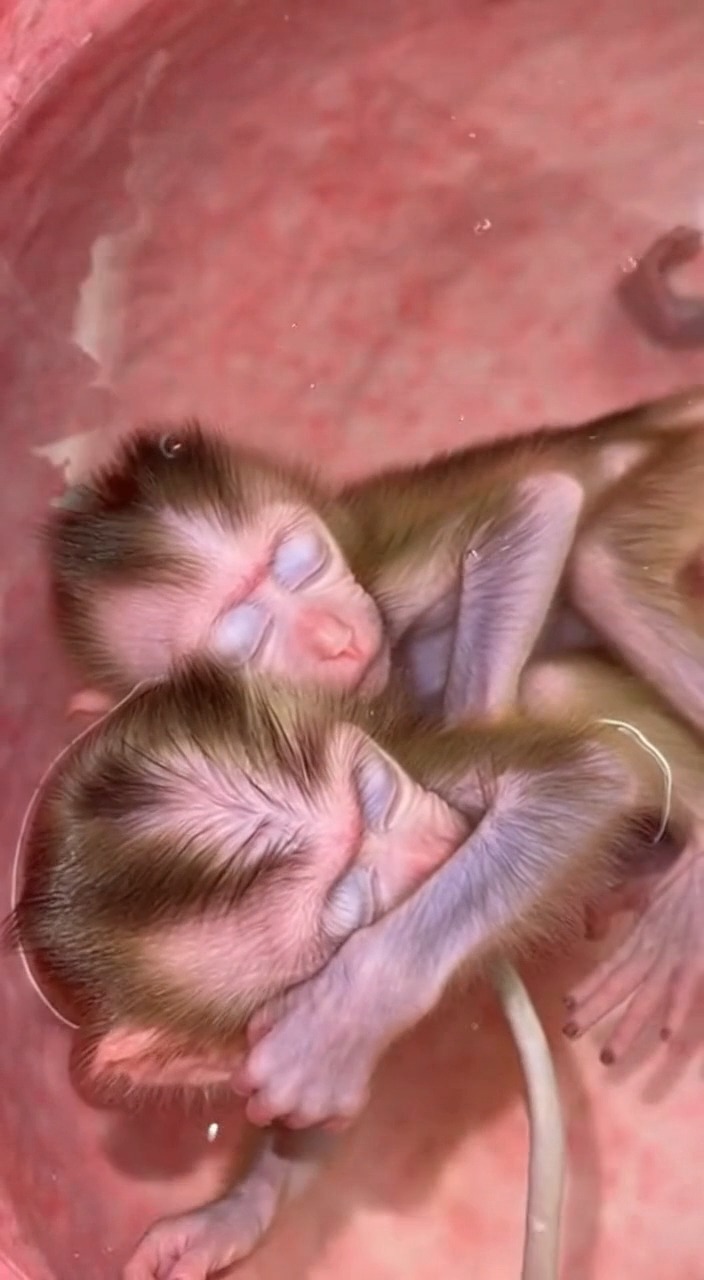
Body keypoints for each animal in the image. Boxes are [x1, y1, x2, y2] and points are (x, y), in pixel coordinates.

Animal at [10, 656, 665, 1280]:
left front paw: (342, 1020)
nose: (435, 846)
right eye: (354, 905)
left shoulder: (426, 770)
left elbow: (586, 779)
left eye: (373, 791)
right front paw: (233, 1216)